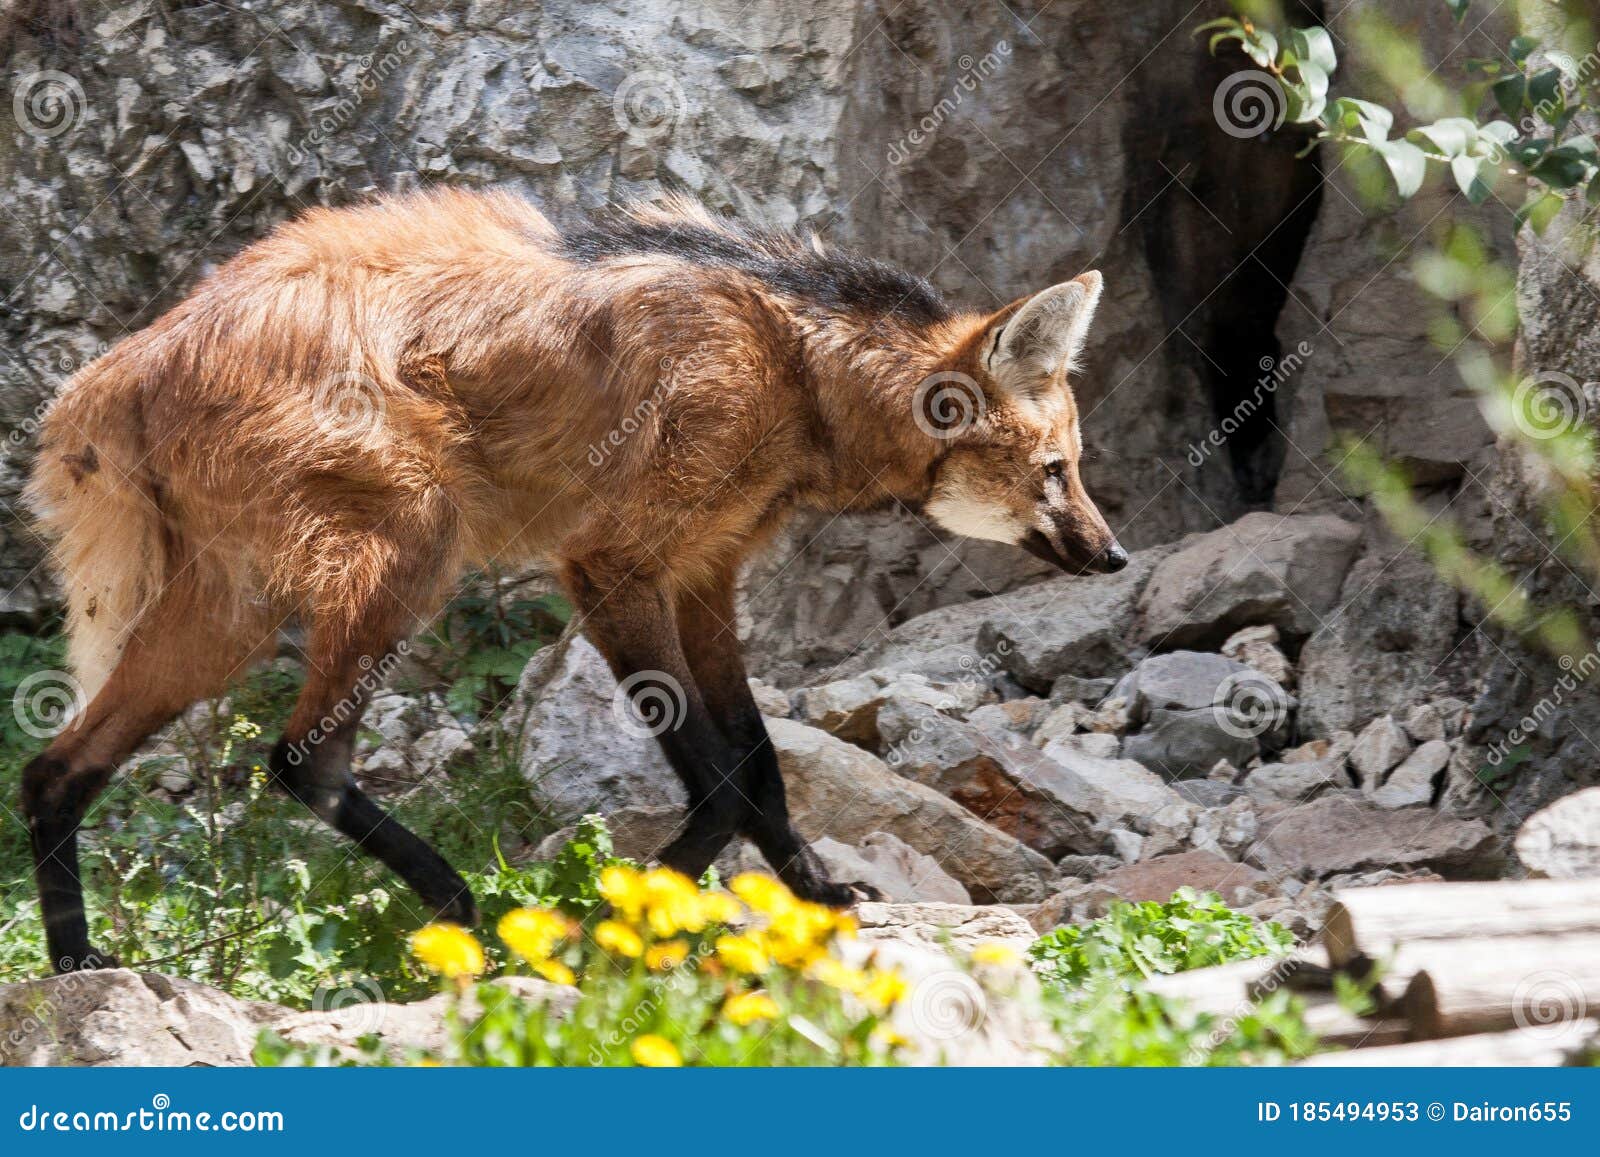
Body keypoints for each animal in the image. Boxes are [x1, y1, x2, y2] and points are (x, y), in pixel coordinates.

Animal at [21, 189, 1125, 970]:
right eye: (1055, 470)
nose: (1113, 555)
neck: (799, 375)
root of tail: (126, 361)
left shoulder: (703, 571)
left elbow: (757, 759)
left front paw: (816, 895)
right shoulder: (612, 564)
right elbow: (723, 777)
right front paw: (631, 910)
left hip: (234, 601)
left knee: (58, 766)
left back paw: (78, 961)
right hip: (411, 541)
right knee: (301, 758)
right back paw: (461, 908)